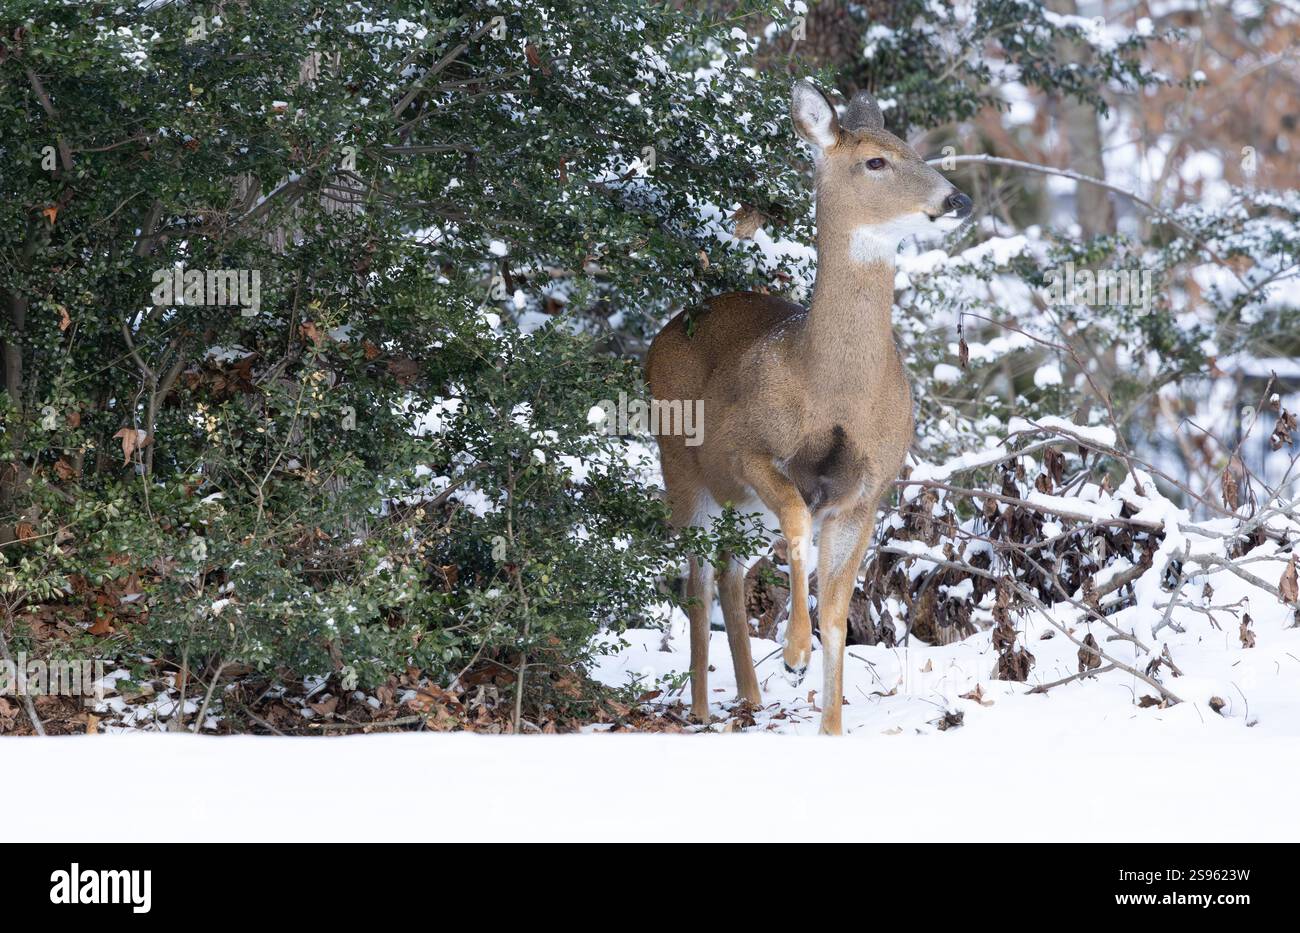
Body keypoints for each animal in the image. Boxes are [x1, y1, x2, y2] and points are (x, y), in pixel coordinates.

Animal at [646, 81, 972, 735]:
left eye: (911, 148)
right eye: (875, 161)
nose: (958, 199)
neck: (830, 387)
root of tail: (662, 334)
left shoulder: (868, 489)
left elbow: (839, 613)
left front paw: (831, 726)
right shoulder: (748, 450)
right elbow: (798, 519)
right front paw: (794, 652)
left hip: (742, 509)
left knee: (730, 571)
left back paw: (749, 697)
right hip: (684, 469)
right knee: (697, 577)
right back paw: (701, 707)